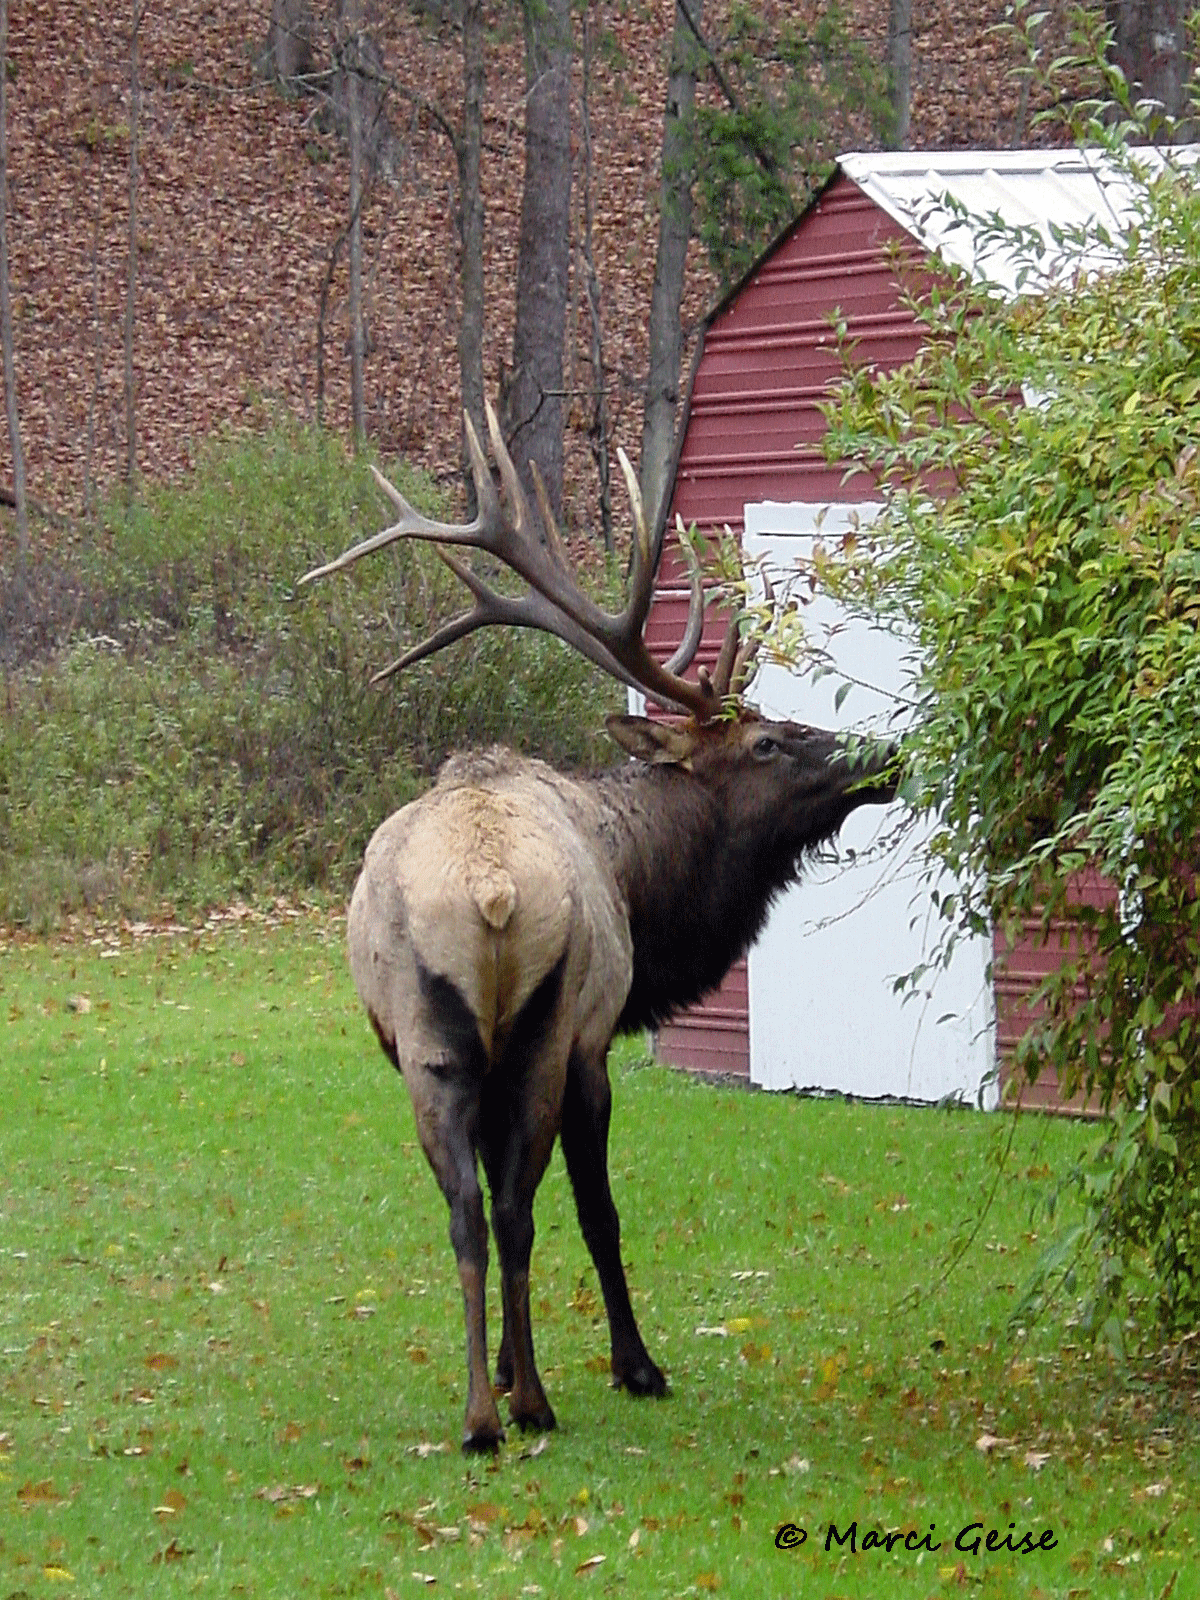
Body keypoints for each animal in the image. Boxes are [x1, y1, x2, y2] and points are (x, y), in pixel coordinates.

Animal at [299, 404, 899, 1451]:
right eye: (768, 741)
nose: (884, 752)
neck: (641, 886)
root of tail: (492, 890)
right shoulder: (596, 1037)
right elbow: (600, 1208)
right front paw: (634, 1364)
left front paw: (507, 1363)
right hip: (543, 1032)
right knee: (518, 1206)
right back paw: (533, 1403)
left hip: (432, 1043)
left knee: (467, 1209)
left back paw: (481, 1413)